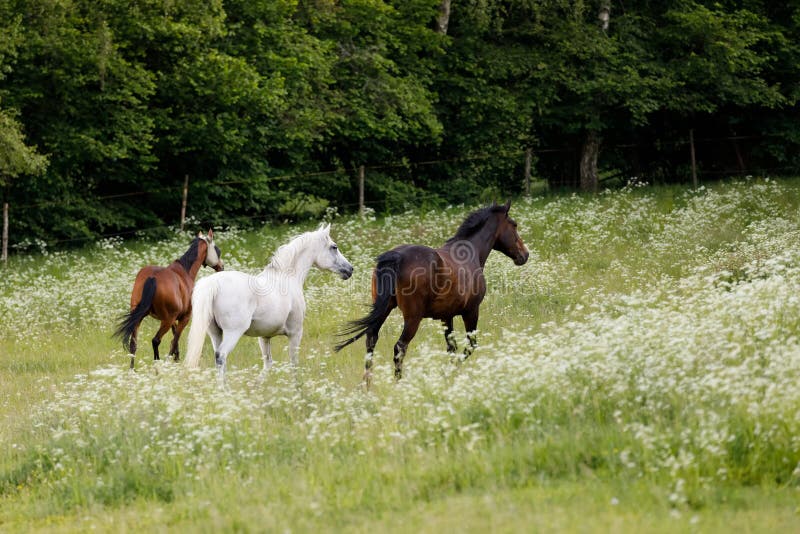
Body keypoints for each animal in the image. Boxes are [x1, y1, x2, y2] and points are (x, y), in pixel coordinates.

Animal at [114, 230, 224, 370]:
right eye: (217, 250)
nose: (221, 266)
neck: (185, 271)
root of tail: (152, 277)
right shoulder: (184, 318)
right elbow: (175, 339)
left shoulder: (173, 319)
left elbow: (174, 336)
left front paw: (176, 358)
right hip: (165, 320)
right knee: (155, 340)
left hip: (139, 318)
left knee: (133, 344)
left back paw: (132, 370)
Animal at [184, 224, 353, 380]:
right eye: (334, 247)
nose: (350, 269)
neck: (287, 278)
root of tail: (213, 284)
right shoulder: (296, 333)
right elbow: (293, 364)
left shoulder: (264, 337)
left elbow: (268, 365)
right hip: (233, 333)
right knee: (221, 356)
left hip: (216, 333)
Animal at [335, 201, 528, 383]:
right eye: (514, 225)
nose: (524, 255)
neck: (470, 254)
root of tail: (397, 256)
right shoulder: (471, 311)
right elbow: (470, 346)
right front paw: (451, 372)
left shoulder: (446, 317)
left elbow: (452, 348)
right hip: (413, 318)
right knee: (400, 347)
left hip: (384, 309)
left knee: (371, 341)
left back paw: (367, 386)